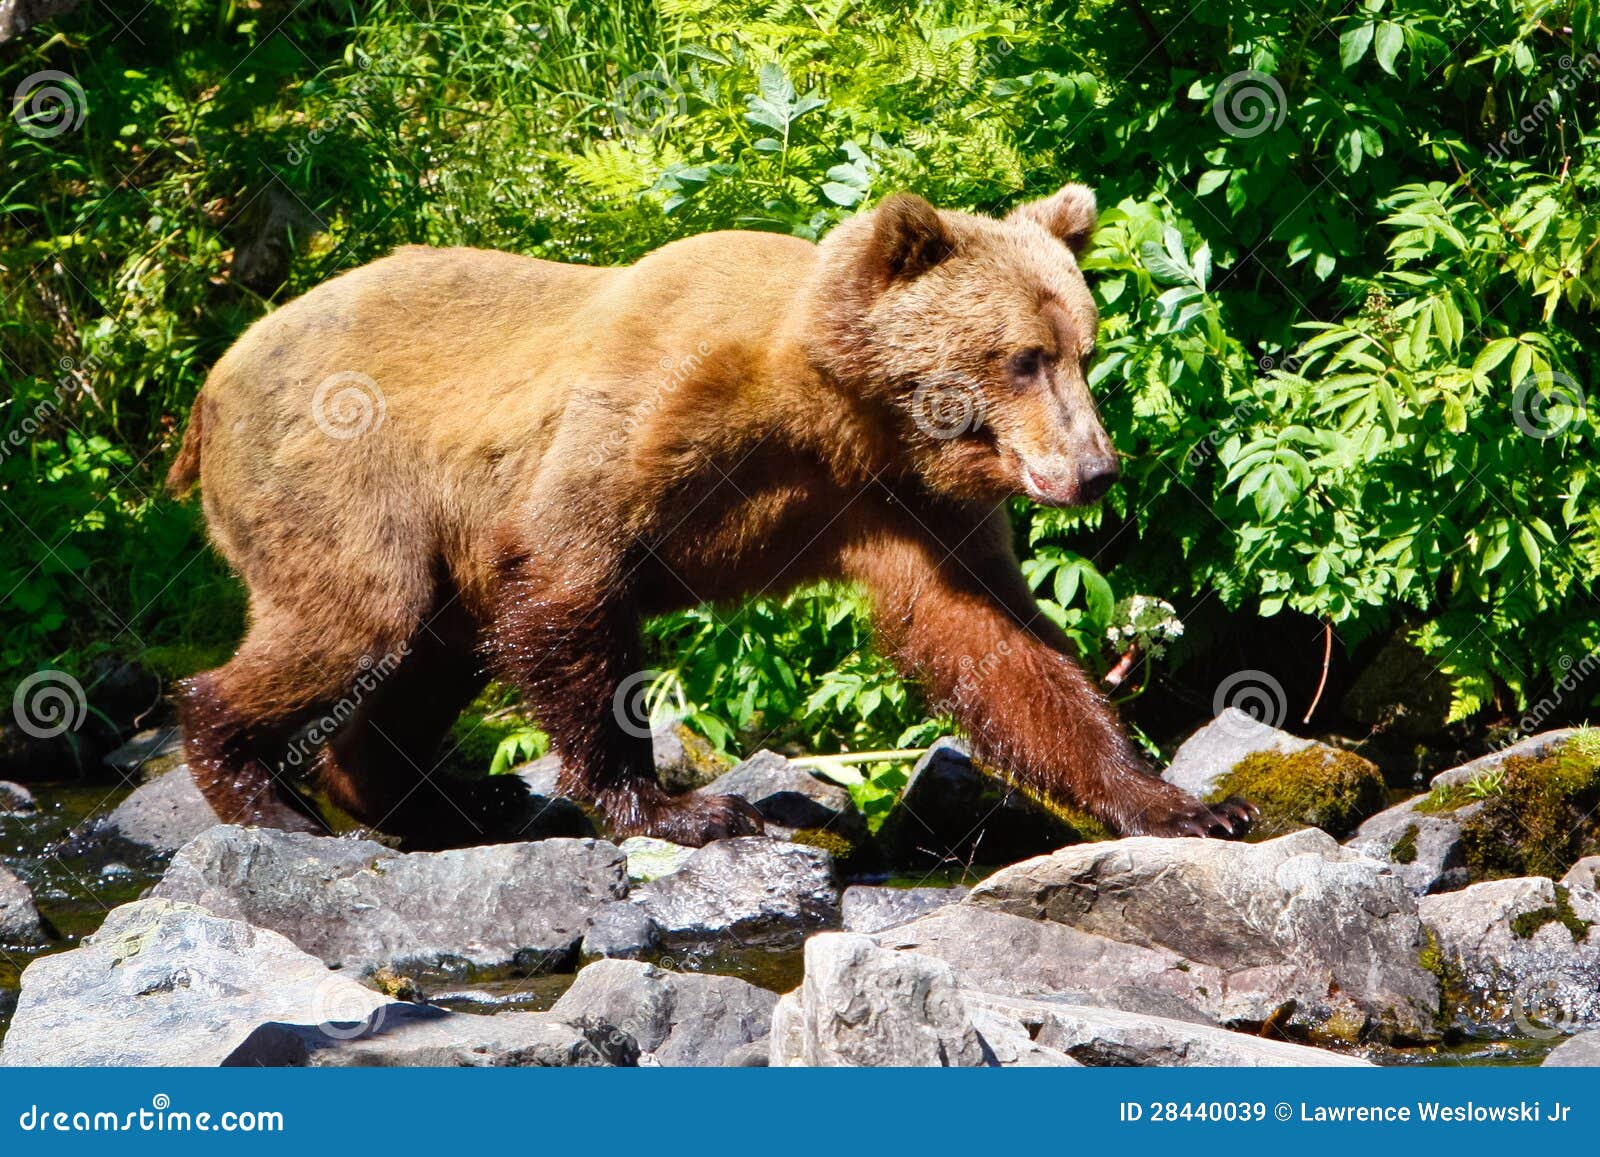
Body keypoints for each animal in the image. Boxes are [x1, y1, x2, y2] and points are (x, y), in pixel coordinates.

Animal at [165, 183, 1256, 848]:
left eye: (1083, 346)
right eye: (1022, 357)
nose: (1095, 469)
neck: (832, 409)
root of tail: (214, 378)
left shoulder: (899, 499)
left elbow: (994, 641)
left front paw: (1187, 804)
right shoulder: (660, 412)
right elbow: (567, 575)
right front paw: (673, 803)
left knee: (425, 648)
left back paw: (435, 795)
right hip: (343, 472)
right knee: (356, 619)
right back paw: (256, 783)